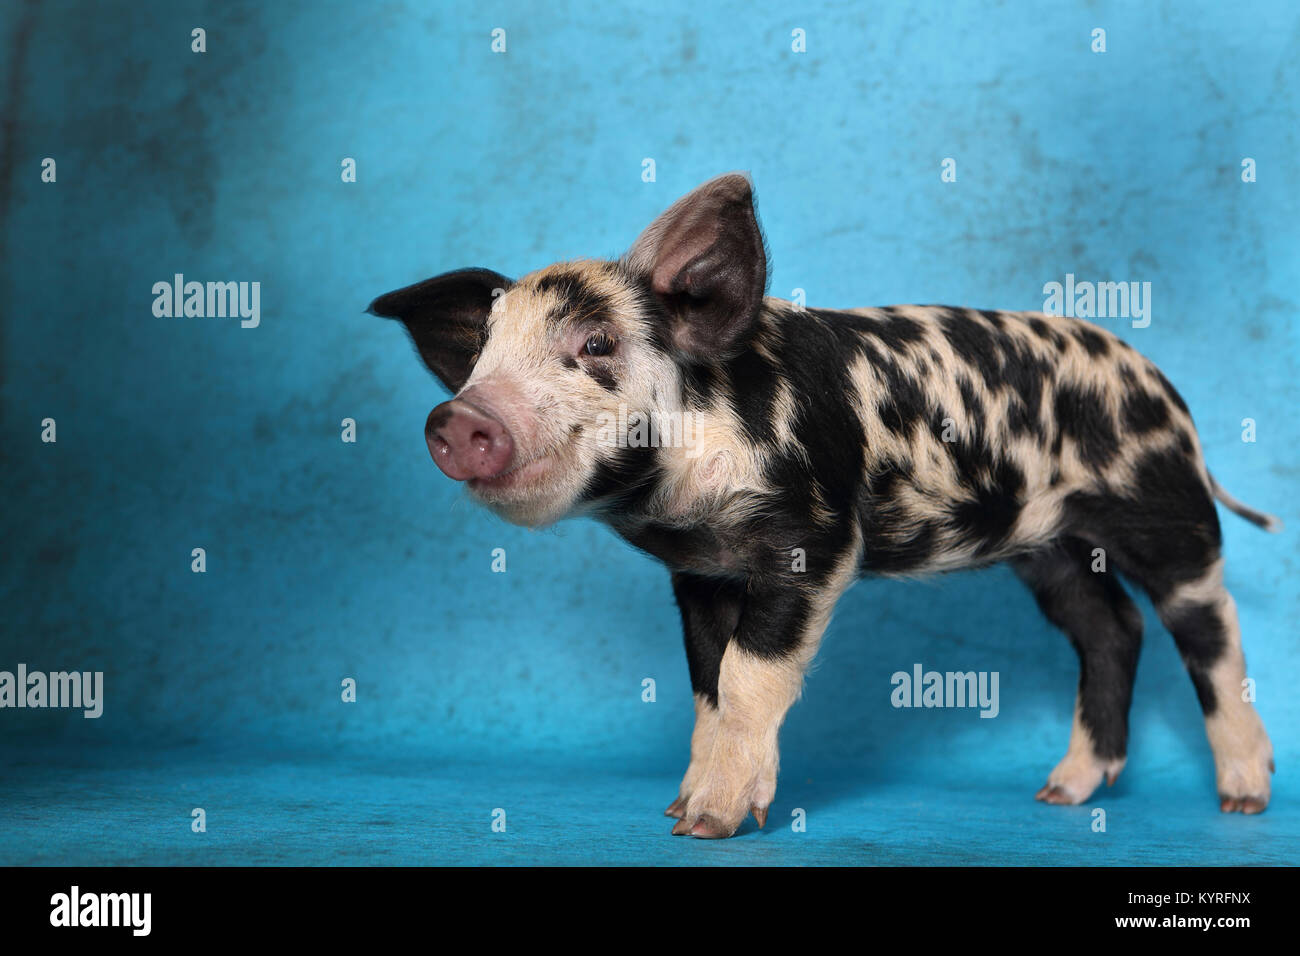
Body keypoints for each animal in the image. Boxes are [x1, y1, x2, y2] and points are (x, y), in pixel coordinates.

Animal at [368, 173, 1279, 838]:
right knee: (1109, 627)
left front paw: (708, 825)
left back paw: (1244, 798)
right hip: (1046, 547)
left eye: (595, 345)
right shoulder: (701, 575)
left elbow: (748, 675)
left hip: (1164, 514)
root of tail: (1168, 395)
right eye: (483, 354)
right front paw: (679, 809)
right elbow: (708, 684)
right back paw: (1059, 795)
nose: (457, 418)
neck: (686, 496)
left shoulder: (815, 540)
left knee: (1209, 626)